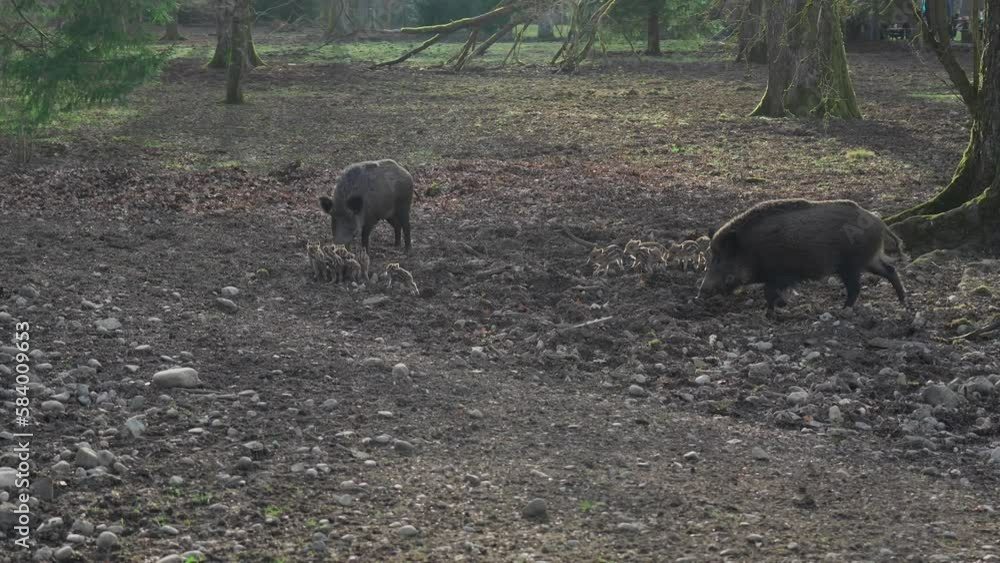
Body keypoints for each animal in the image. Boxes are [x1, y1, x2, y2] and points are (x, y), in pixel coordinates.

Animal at [697, 199, 907, 314]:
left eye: (719, 258)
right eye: (711, 256)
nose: (700, 292)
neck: (749, 249)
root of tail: (880, 222)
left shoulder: (782, 274)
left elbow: (768, 292)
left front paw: (774, 310)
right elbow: (770, 292)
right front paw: (778, 307)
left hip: (851, 265)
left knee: (856, 287)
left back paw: (843, 310)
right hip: (869, 260)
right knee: (890, 270)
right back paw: (903, 301)